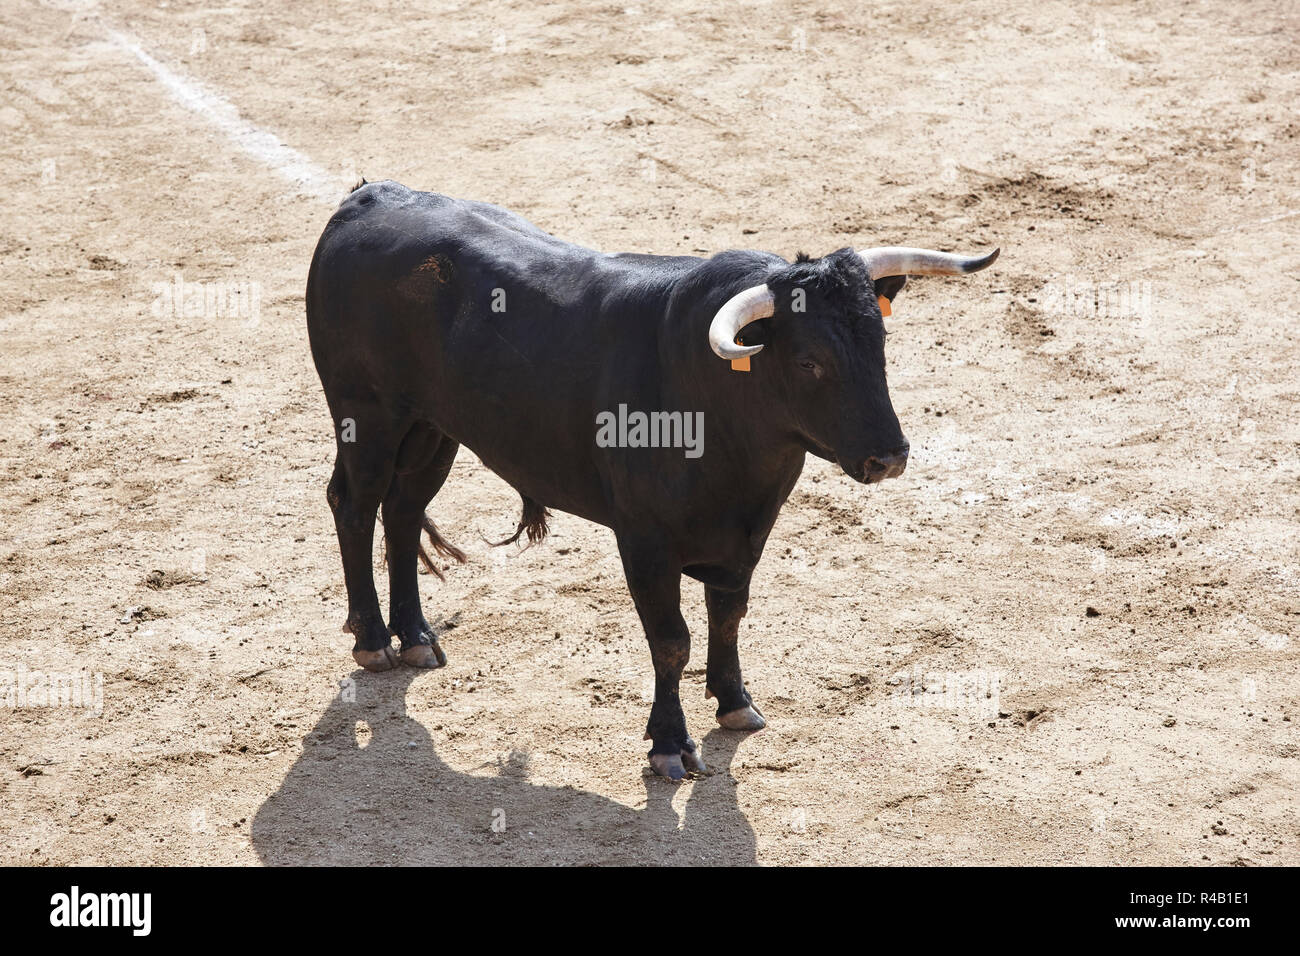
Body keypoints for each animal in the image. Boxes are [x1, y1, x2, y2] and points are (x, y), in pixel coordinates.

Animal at [306, 180, 998, 779]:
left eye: (880, 341)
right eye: (809, 361)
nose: (890, 457)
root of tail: (369, 196)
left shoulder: (747, 536)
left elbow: (728, 616)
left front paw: (736, 704)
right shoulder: (644, 540)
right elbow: (671, 641)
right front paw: (670, 746)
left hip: (432, 428)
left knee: (401, 510)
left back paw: (417, 638)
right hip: (367, 415)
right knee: (355, 503)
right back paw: (373, 640)